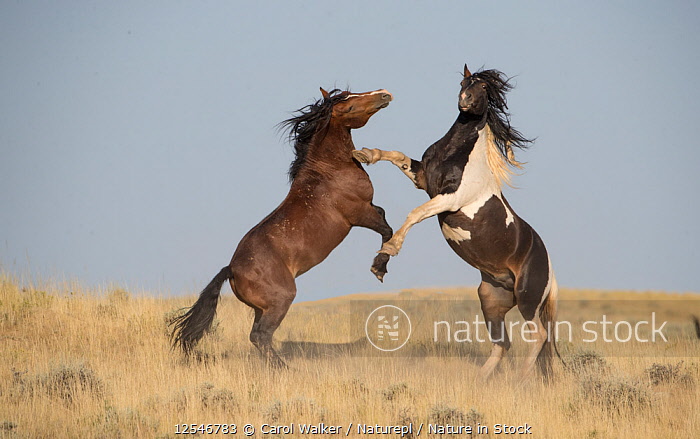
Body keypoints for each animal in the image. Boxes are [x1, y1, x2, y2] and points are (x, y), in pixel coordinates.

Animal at [170, 87, 394, 368]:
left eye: (352, 92)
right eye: (348, 106)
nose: (384, 94)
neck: (329, 173)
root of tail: (231, 269)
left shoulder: (370, 207)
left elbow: (384, 217)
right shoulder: (359, 214)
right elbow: (387, 230)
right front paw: (379, 268)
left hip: (261, 308)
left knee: (258, 336)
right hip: (281, 300)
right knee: (261, 335)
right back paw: (284, 368)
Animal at [354, 65, 559, 379]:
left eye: (484, 88)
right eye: (463, 82)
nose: (464, 100)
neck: (458, 154)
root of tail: (548, 266)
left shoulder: (450, 199)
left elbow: (414, 213)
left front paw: (385, 255)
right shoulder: (423, 179)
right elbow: (398, 156)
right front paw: (365, 154)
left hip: (527, 298)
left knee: (538, 337)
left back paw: (521, 380)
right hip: (491, 300)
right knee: (503, 343)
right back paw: (481, 380)